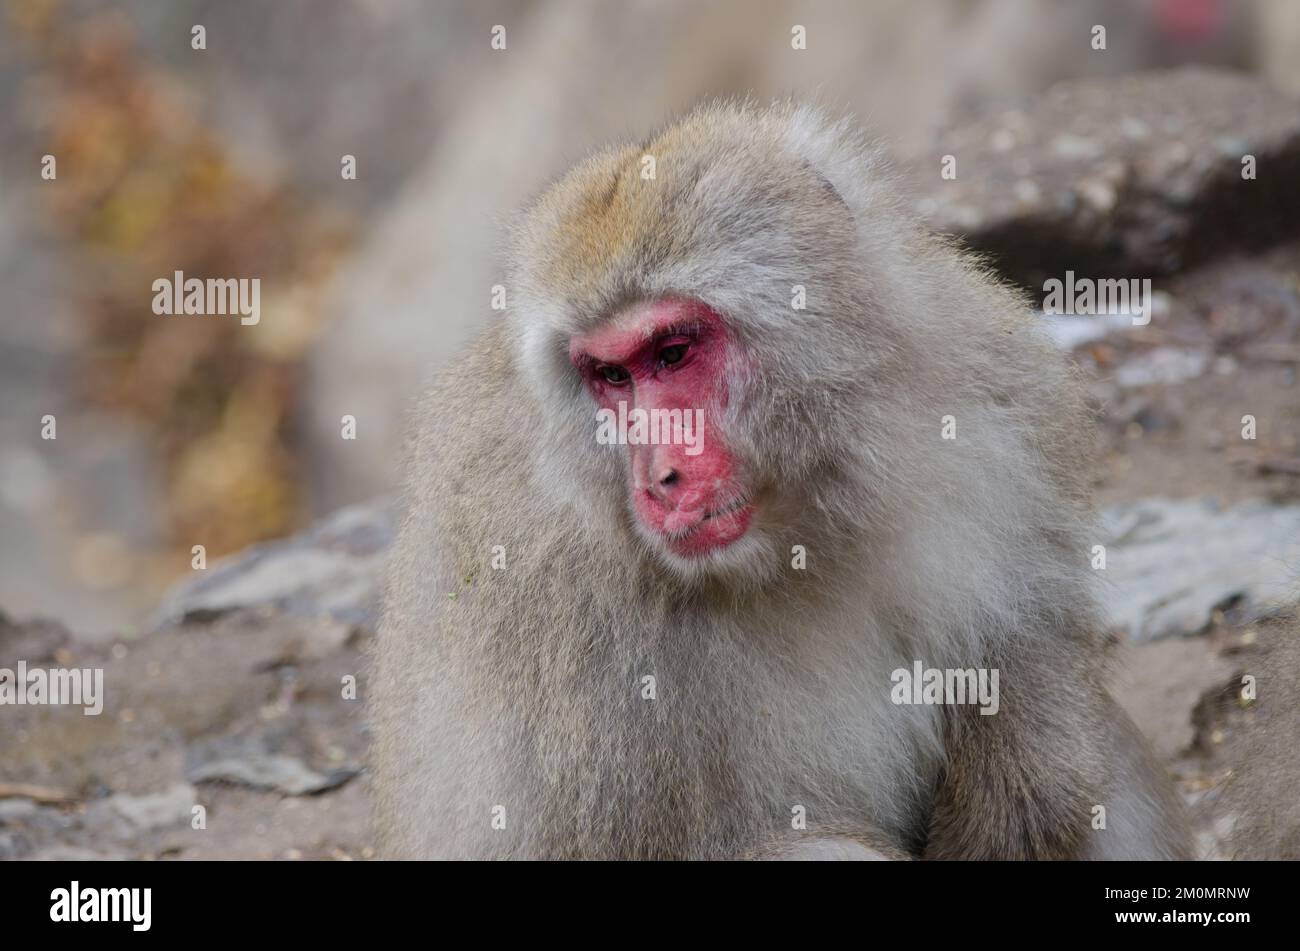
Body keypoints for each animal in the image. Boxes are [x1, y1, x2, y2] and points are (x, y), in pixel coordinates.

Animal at [369, 99, 1192, 860]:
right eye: (610, 376)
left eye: (672, 352)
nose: (660, 478)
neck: (804, 530)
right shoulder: (545, 591)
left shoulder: (1000, 392)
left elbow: (1031, 674)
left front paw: (1028, 782)